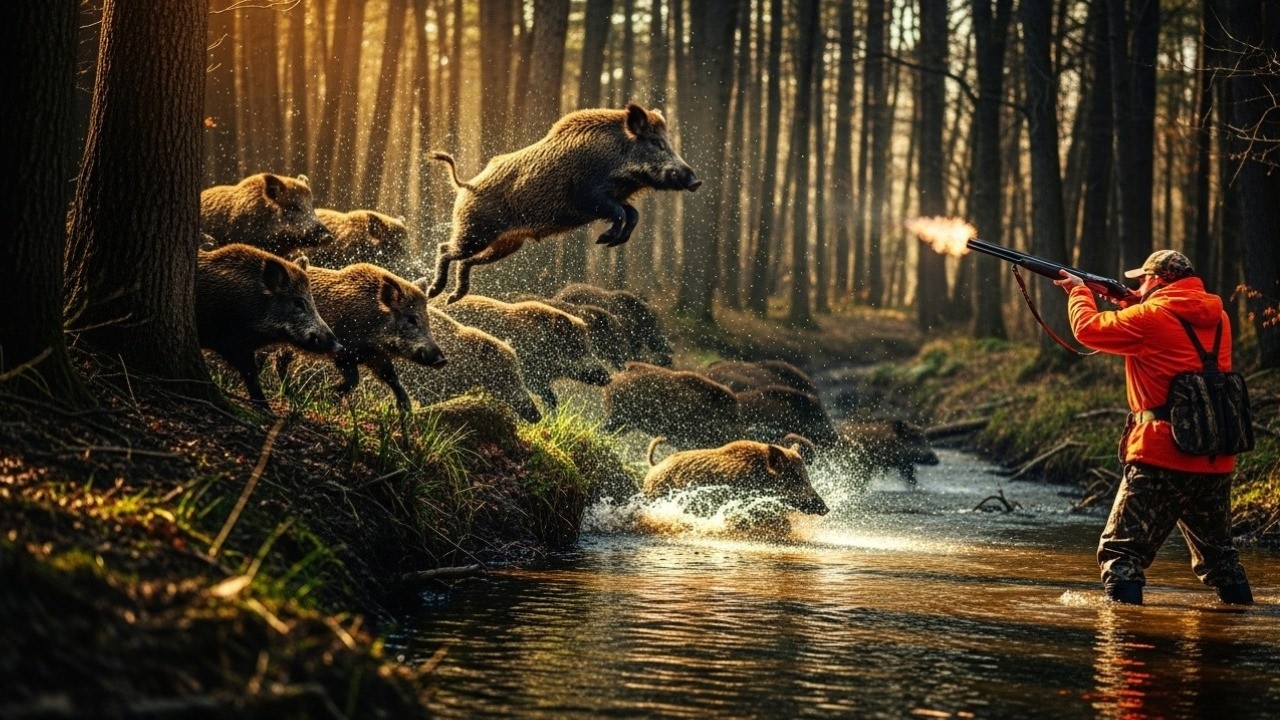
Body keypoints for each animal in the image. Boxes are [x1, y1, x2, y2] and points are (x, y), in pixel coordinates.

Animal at [278, 264, 447, 410]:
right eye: (411, 319)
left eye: (427, 320)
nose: (442, 360)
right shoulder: (344, 353)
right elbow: (354, 380)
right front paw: (323, 393)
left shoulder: (377, 357)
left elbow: (392, 378)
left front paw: (406, 409)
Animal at [427, 103, 701, 302]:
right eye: (656, 143)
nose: (696, 181)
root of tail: (467, 185)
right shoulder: (587, 196)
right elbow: (620, 213)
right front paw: (604, 239)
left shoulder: (613, 199)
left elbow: (632, 214)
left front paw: (611, 241)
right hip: (476, 231)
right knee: (445, 249)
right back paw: (434, 292)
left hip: (506, 244)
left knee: (466, 261)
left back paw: (453, 298)